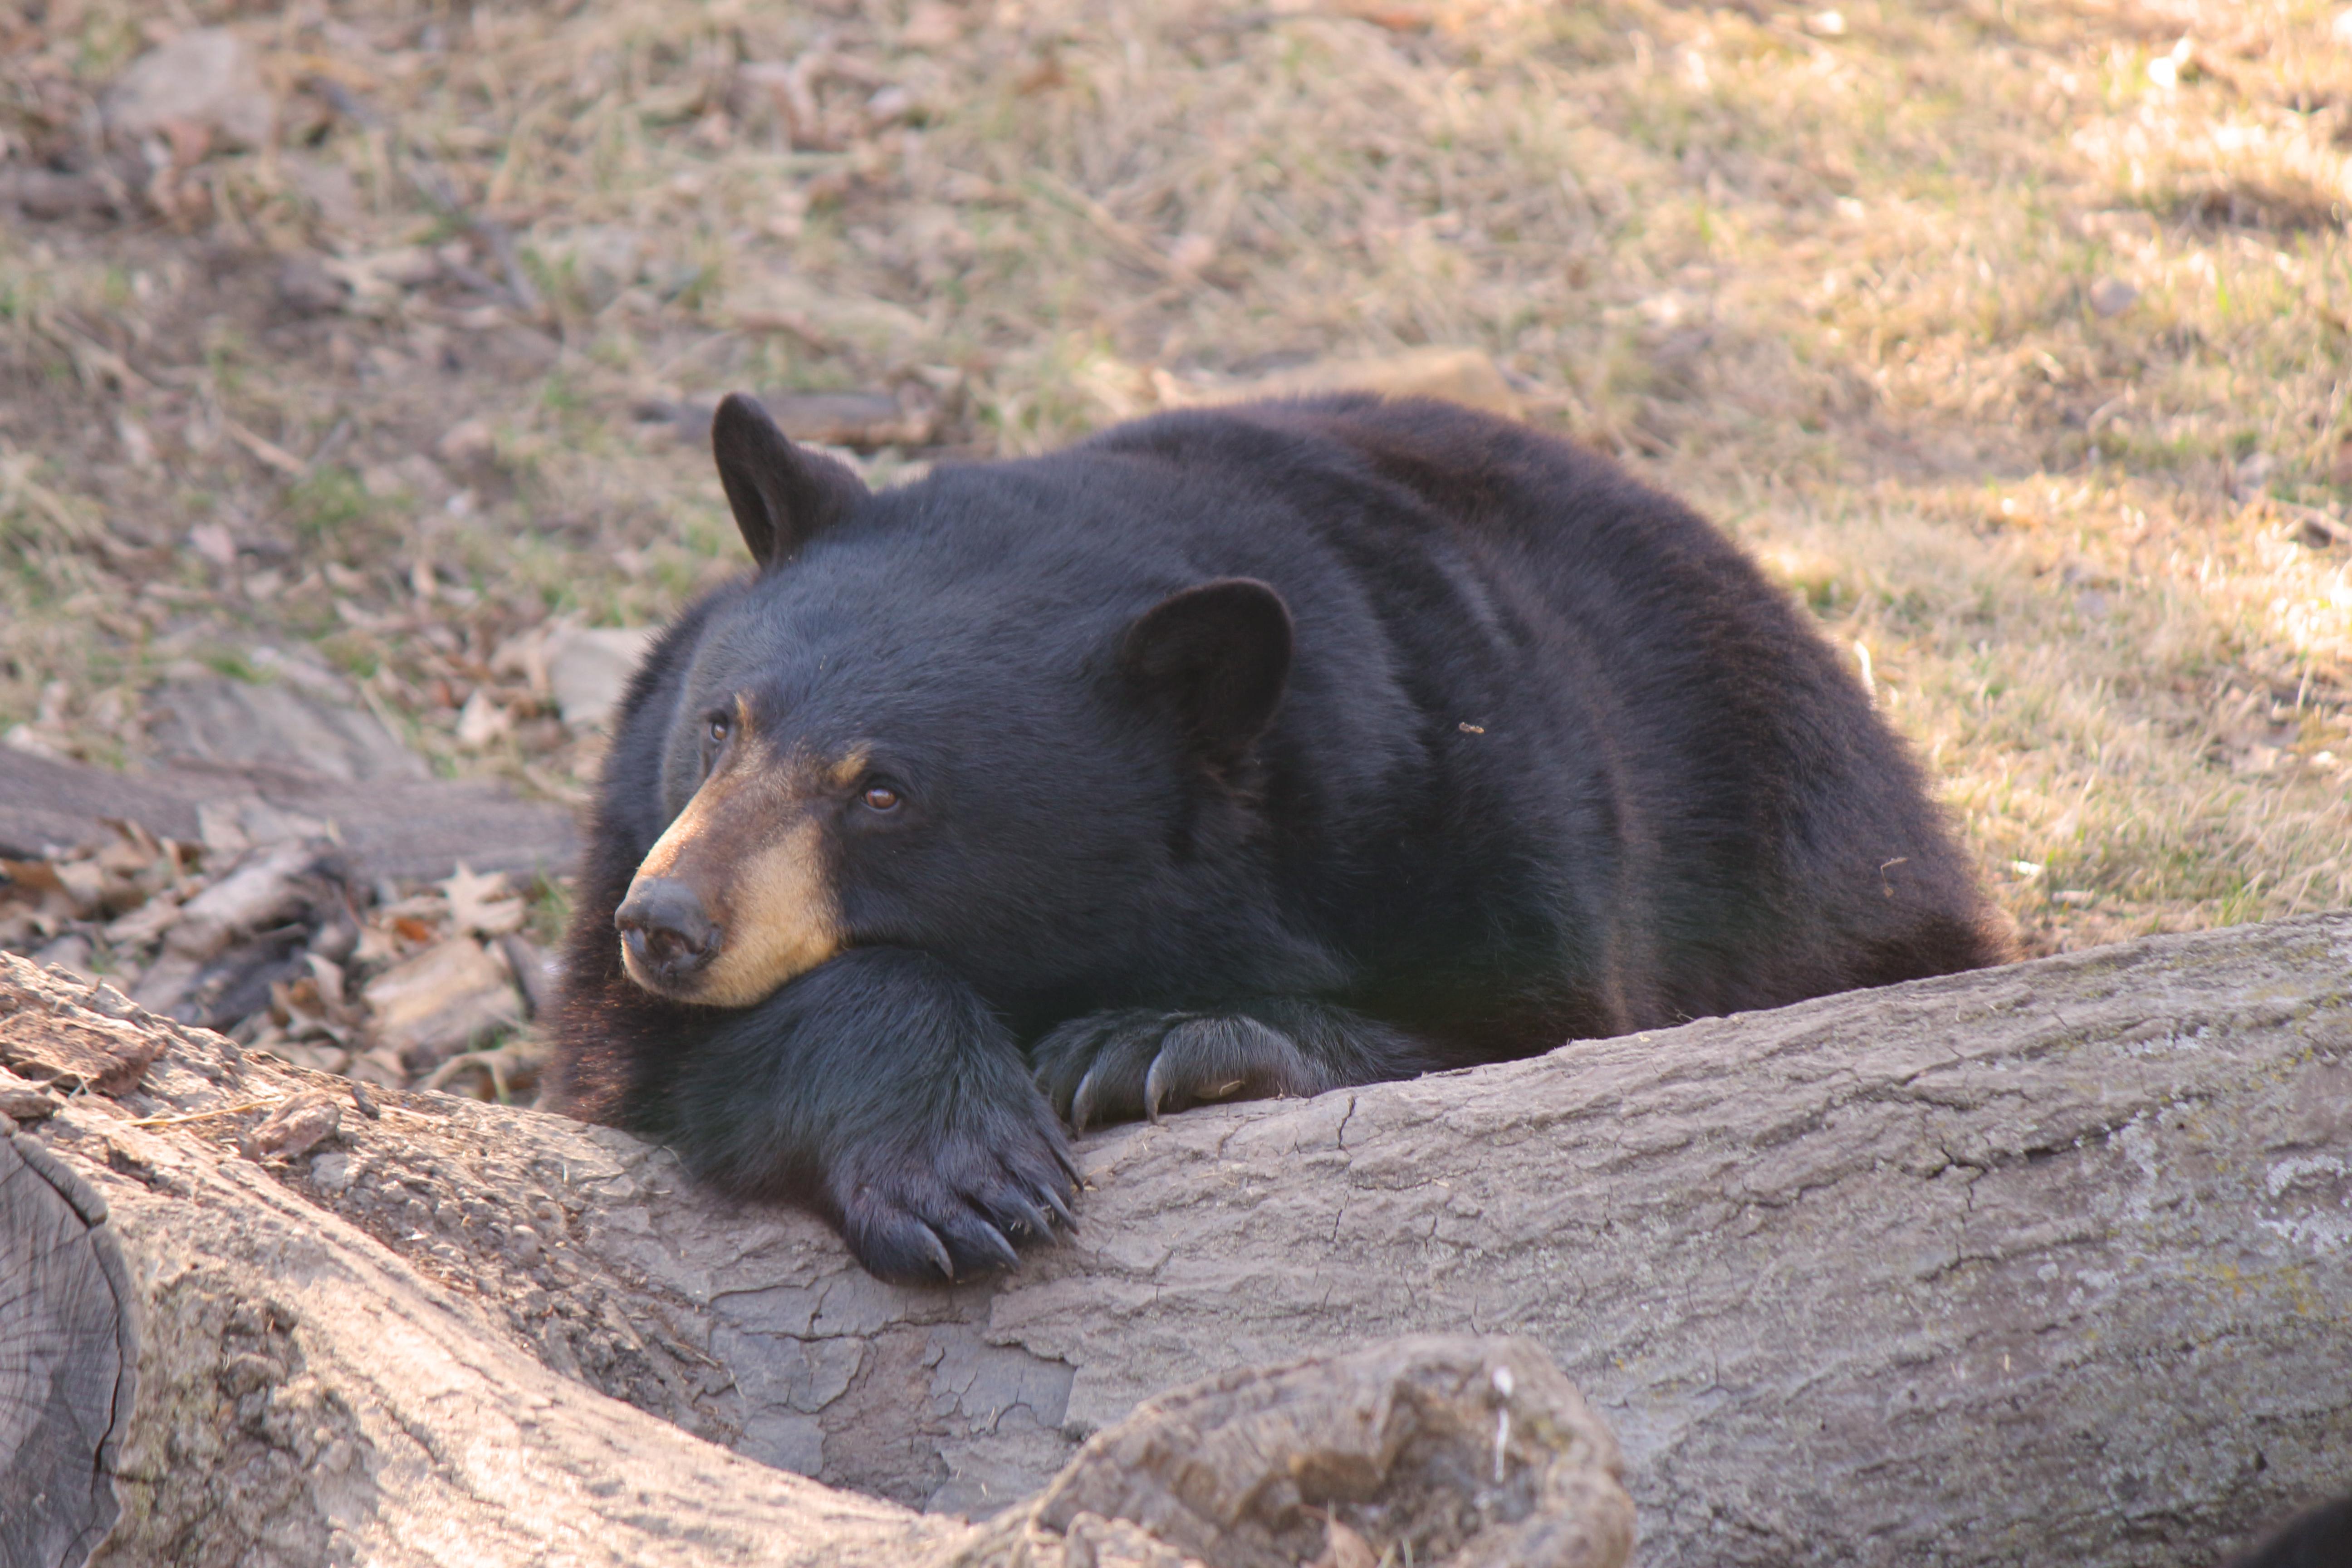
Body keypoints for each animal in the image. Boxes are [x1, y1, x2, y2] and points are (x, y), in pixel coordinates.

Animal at [547, 390, 2012, 1284]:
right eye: (723, 723)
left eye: (885, 793)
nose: (668, 925)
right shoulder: (630, 820)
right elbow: (639, 1061)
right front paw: (959, 1169)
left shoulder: (1497, 820)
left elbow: (1524, 1045)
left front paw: (1153, 1044)